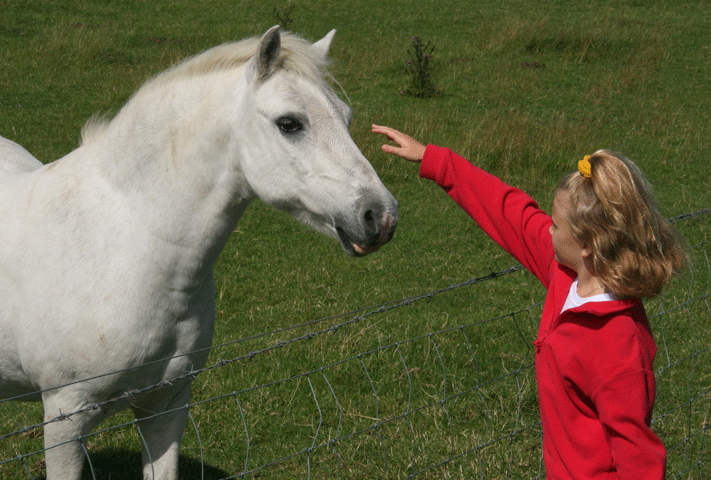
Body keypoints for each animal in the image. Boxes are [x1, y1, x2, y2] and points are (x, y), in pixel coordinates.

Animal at [0, 26, 397, 480]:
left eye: (346, 117)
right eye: (290, 123)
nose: (380, 216)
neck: (124, 245)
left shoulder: (166, 405)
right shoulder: (66, 416)